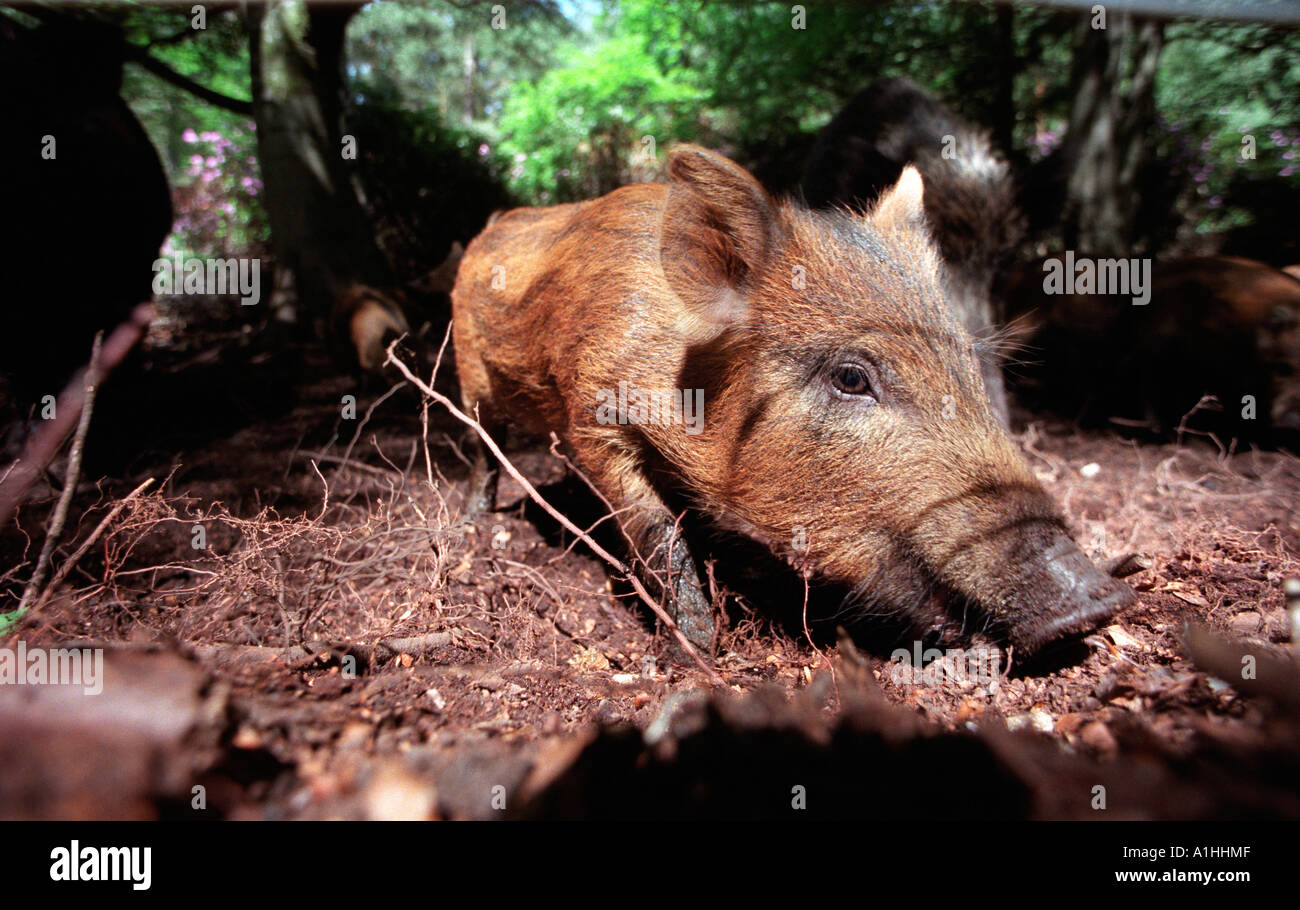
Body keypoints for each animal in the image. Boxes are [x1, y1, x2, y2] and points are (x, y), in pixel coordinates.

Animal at [451, 144, 1135, 656]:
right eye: (851, 377)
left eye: (965, 363)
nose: (1099, 599)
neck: (684, 371)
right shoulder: (593, 415)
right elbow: (657, 532)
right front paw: (692, 651)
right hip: (468, 373)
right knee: (482, 445)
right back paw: (474, 521)